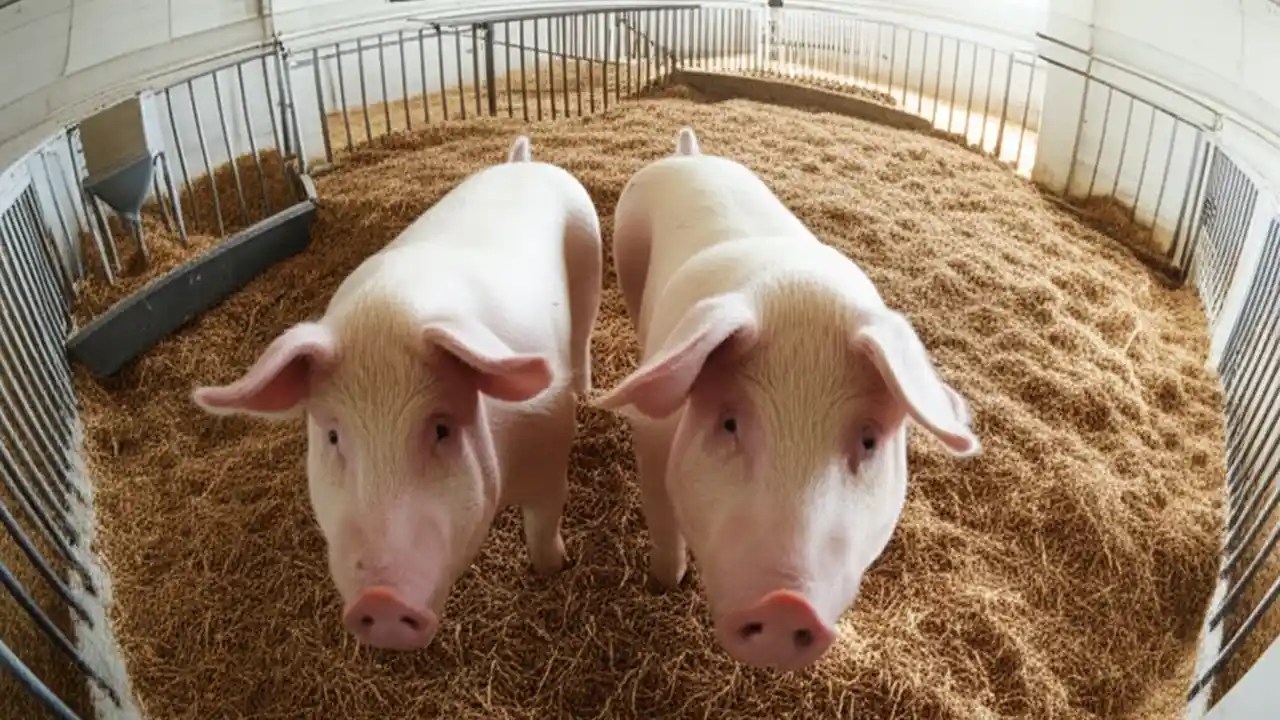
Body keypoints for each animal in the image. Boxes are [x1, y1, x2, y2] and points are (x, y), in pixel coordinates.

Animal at [191, 135, 602, 651]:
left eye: (442, 429)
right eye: (332, 436)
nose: (381, 600)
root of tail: (522, 164)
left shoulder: (549, 447)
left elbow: (545, 524)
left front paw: (555, 569)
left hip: (590, 252)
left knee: (584, 333)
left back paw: (587, 388)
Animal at [594, 128, 980, 672]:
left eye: (868, 440)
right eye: (730, 423)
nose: (784, 603)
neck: (795, 293)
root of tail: (689, 155)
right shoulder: (651, 438)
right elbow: (664, 524)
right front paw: (665, 583)